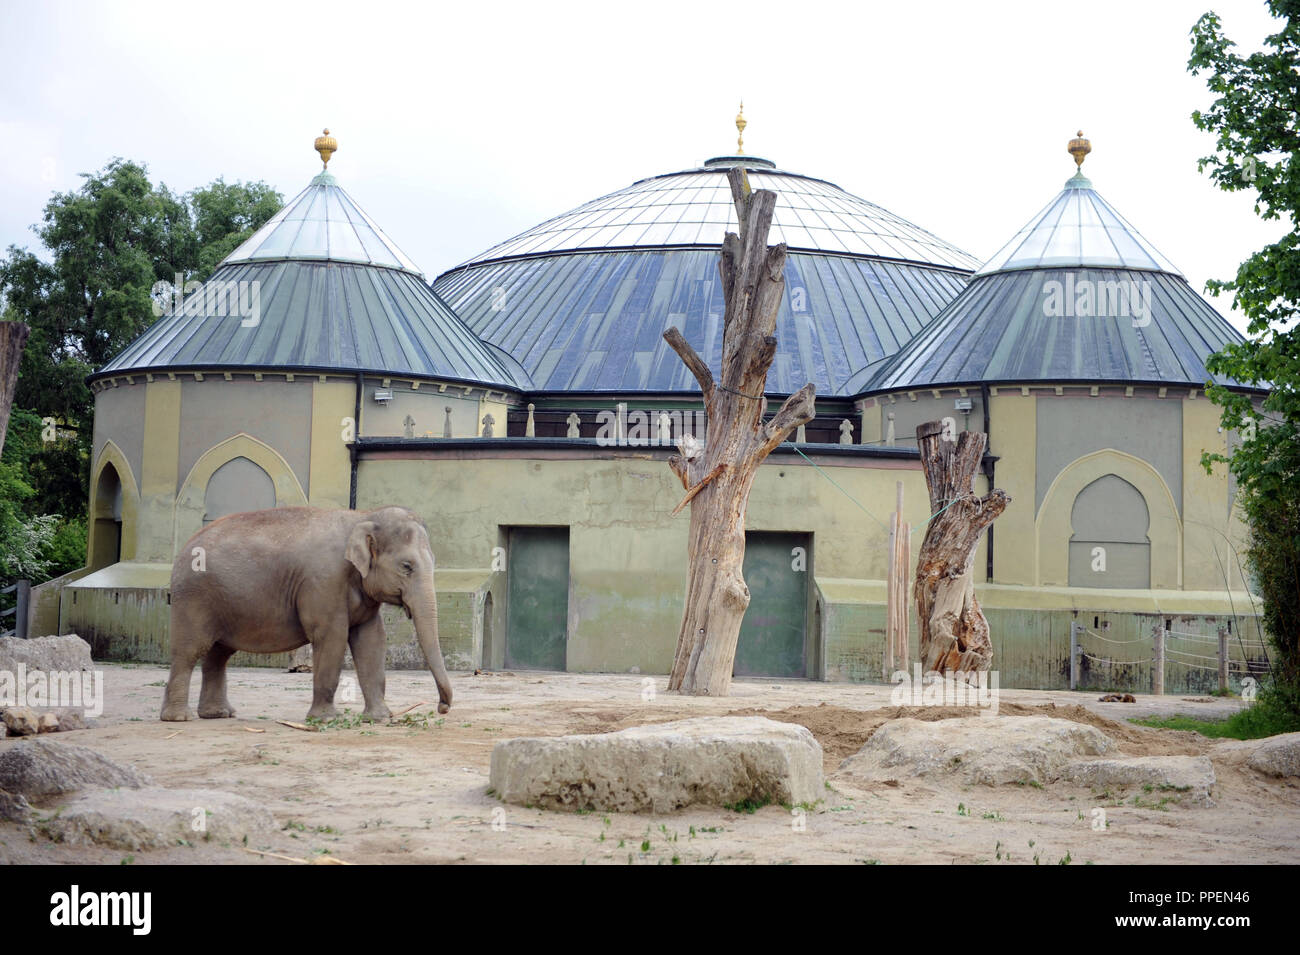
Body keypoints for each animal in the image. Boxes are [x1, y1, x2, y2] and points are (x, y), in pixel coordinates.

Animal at [160, 505, 453, 723]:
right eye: (407, 566)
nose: (442, 708)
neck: (362, 515)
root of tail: (184, 547)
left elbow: (372, 640)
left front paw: (380, 718)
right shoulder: (323, 581)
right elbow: (331, 636)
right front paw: (326, 720)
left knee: (218, 654)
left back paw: (218, 714)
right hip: (193, 598)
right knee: (190, 651)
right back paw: (179, 718)